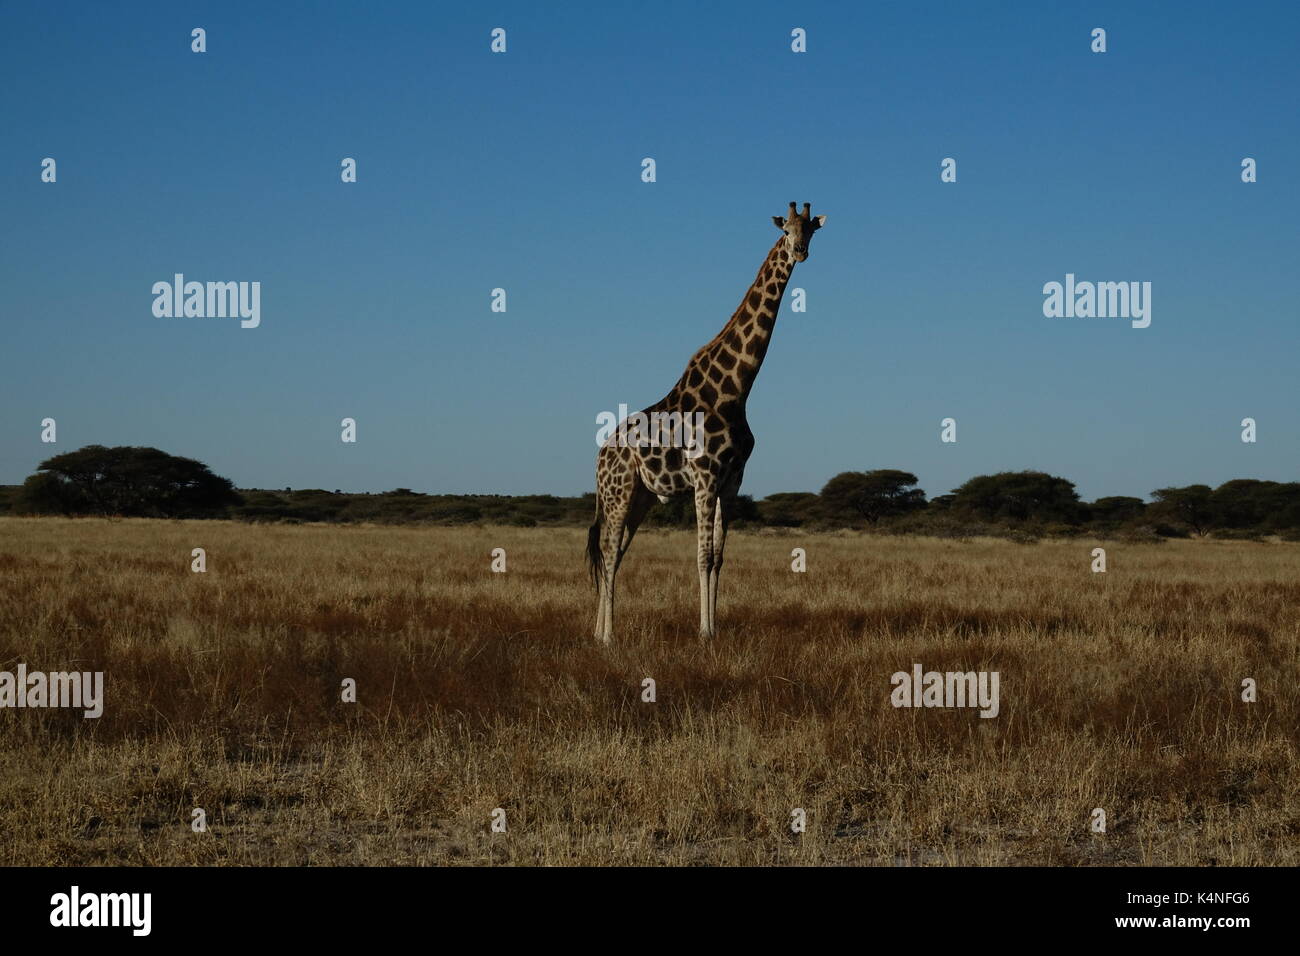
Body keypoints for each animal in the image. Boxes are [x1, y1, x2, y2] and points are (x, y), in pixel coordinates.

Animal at [587, 205, 826, 647]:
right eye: (786, 230)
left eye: (811, 231)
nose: (800, 252)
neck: (735, 391)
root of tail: (599, 456)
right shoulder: (704, 476)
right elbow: (700, 557)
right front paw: (702, 632)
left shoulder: (732, 479)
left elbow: (718, 558)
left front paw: (714, 629)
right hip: (618, 492)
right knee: (608, 554)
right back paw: (608, 637)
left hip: (640, 498)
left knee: (616, 553)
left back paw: (597, 632)